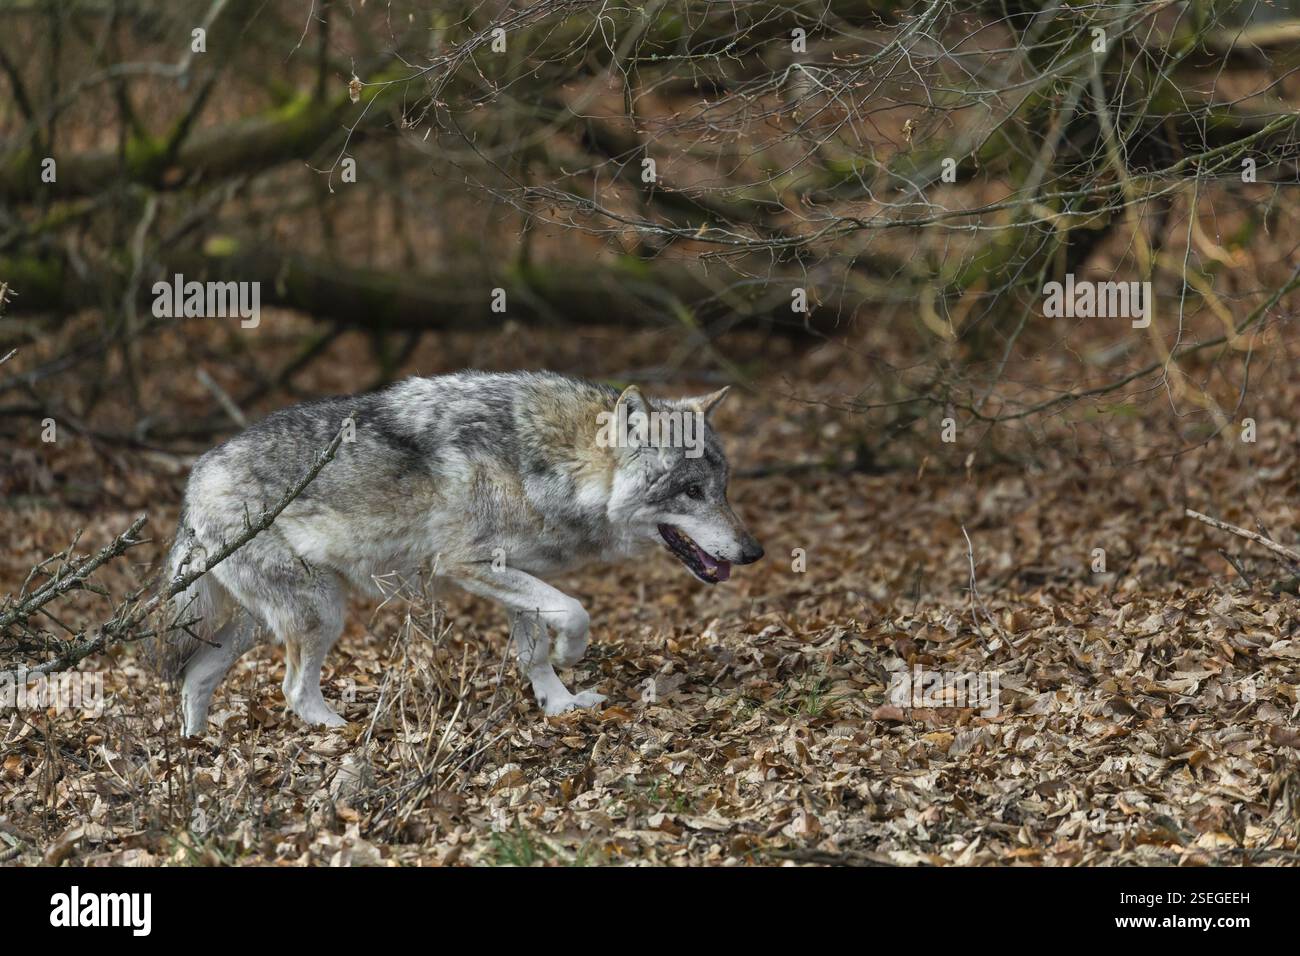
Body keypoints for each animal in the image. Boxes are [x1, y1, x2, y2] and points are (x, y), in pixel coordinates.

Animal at [161, 371, 763, 736]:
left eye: (724, 488)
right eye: (692, 491)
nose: (753, 551)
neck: (544, 463)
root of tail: (194, 480)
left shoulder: (519, 574)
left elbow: (533, 652)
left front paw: (559, 704)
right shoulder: (467, 565)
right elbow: (575, 612)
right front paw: (571, 655)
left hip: (255, 625)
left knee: (194, 678)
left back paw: (197, 750)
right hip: (320, 613)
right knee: (292, 690)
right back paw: (340, 730)